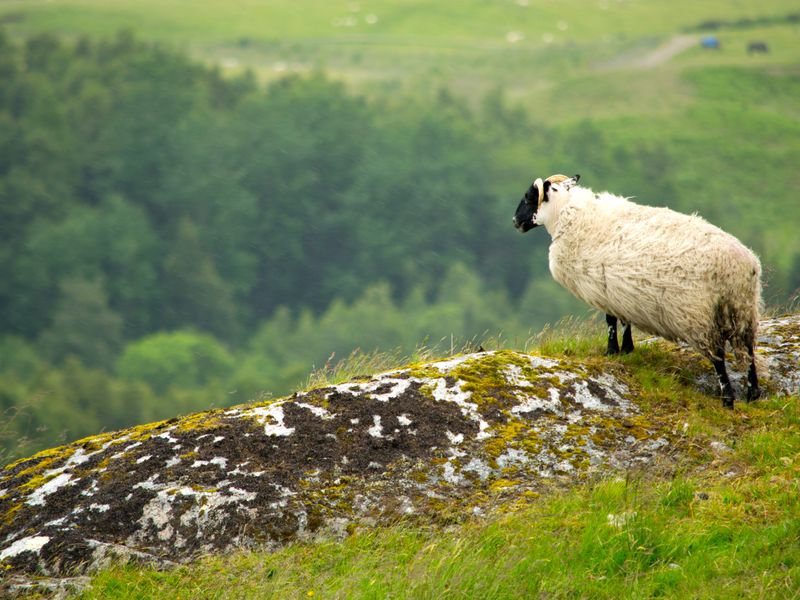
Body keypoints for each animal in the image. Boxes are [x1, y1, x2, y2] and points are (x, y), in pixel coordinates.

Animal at [512, 174, 762, 407]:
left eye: (529, 196)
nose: (515, 221)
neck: (569, 216)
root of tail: (739, 265)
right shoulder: (623, 292)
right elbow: (624, 323)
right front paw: (627, 349)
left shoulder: (605, 290)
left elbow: (611, 322)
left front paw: (612, 351)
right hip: (743, 309)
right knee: (749, 351)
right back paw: (753, 395)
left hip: (699, 314)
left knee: (718, 356)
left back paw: (728, 399)